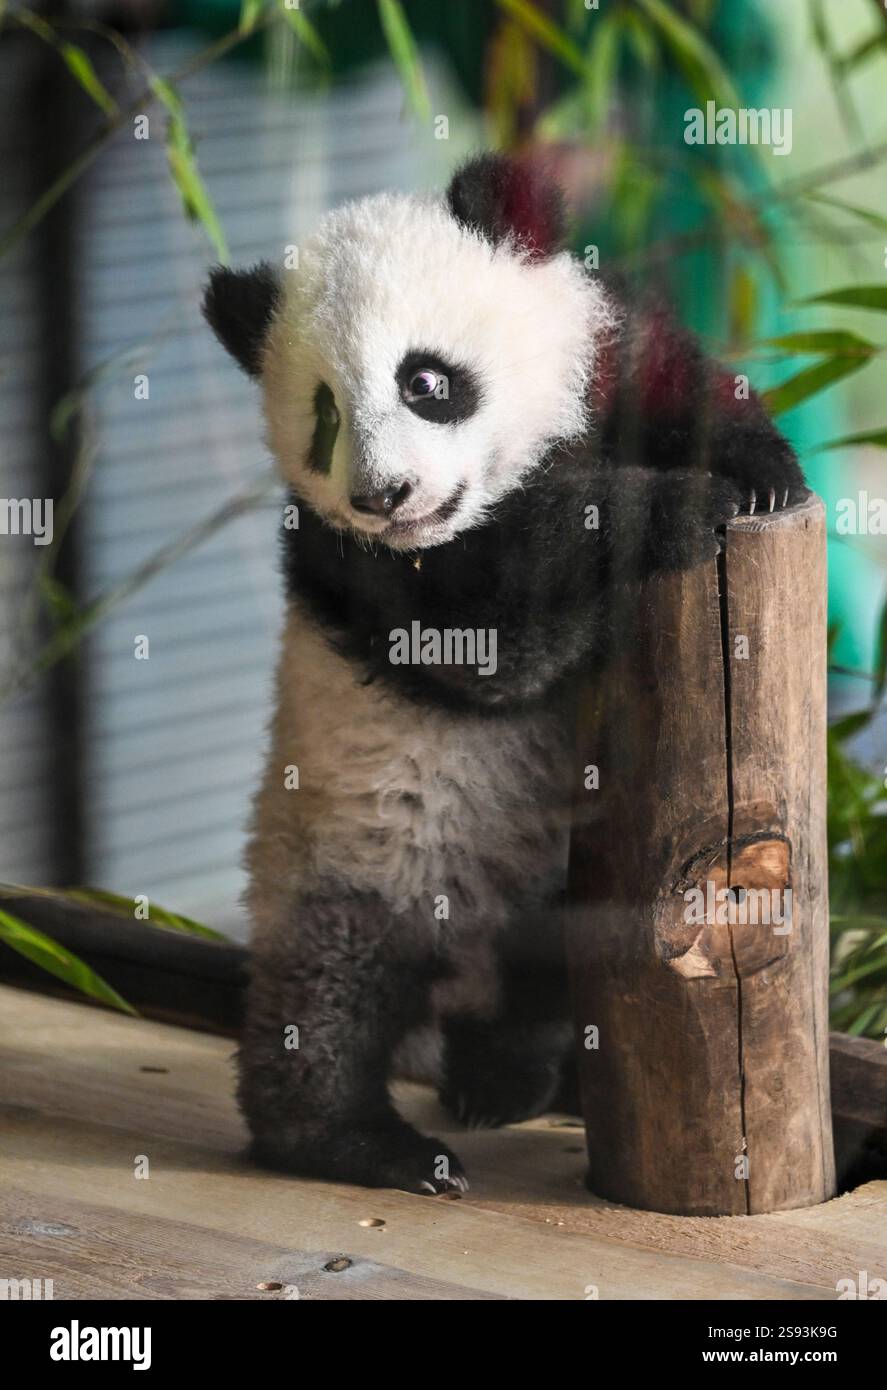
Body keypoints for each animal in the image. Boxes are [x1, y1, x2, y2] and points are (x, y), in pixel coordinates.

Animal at [203, 152, 805, 1194]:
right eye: (323, 415)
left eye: (425, 381)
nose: (383, 496)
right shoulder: (369, 574)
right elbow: (495, 639)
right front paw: (675, 508)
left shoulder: (601, 352)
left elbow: (685, 389)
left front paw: (759, 479)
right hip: (345, 867)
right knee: (325, 1003)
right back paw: (367, 1145)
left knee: (537, 985)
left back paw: (499, 1080)